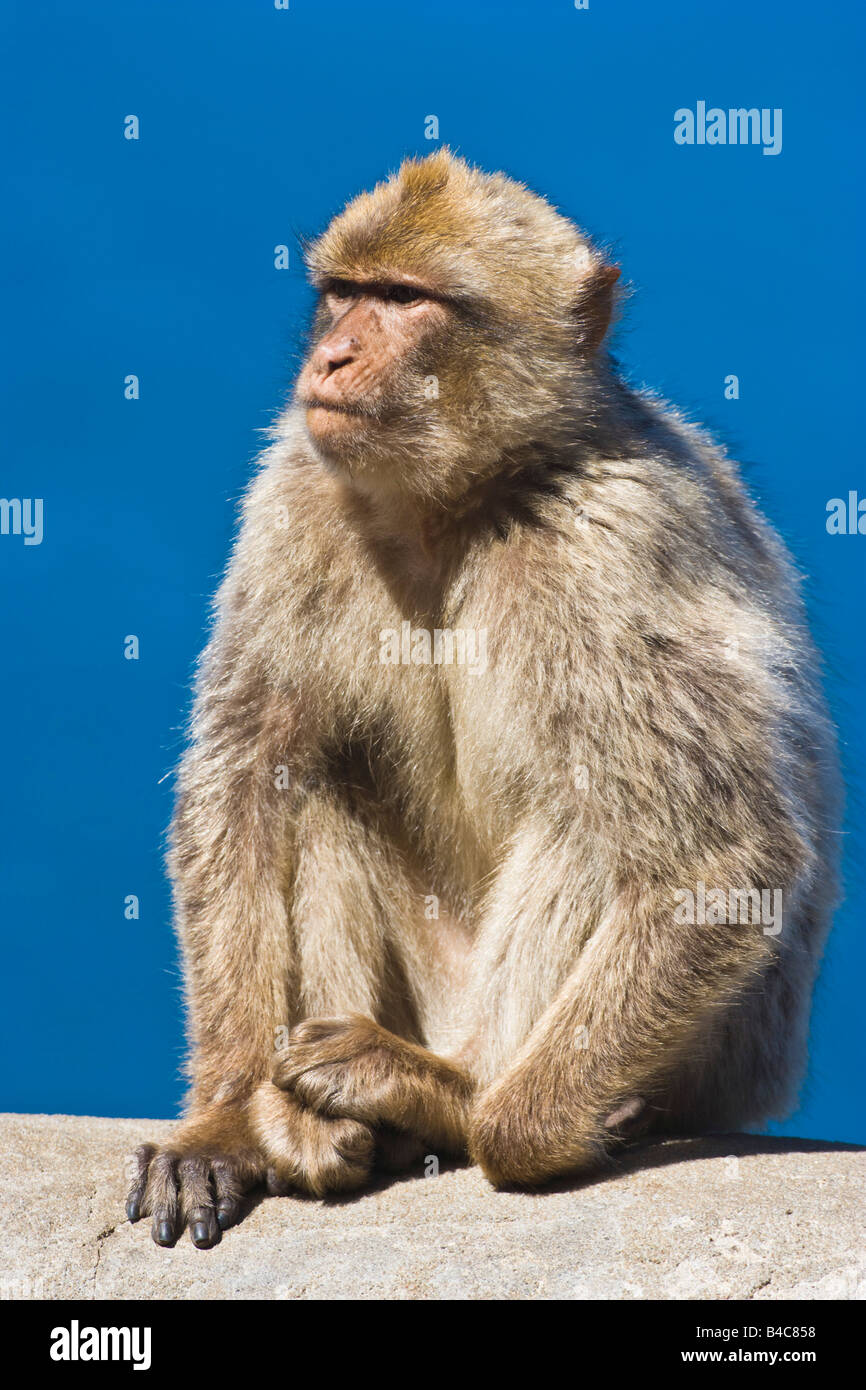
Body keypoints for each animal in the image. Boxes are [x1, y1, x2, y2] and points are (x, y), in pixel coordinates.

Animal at [126, 149, 840, 1248]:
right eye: (343, 292)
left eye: (405, 301)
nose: (331, 357)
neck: (457, 499)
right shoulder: (294, 488)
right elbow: (244, 780)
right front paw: (224, 1123)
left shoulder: (618, 534)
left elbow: (725, 851)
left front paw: (500, 1127)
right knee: (315, 783)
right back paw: (313, 1125)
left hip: (708, 1062)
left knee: (600, 810)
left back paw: (443, 1092)